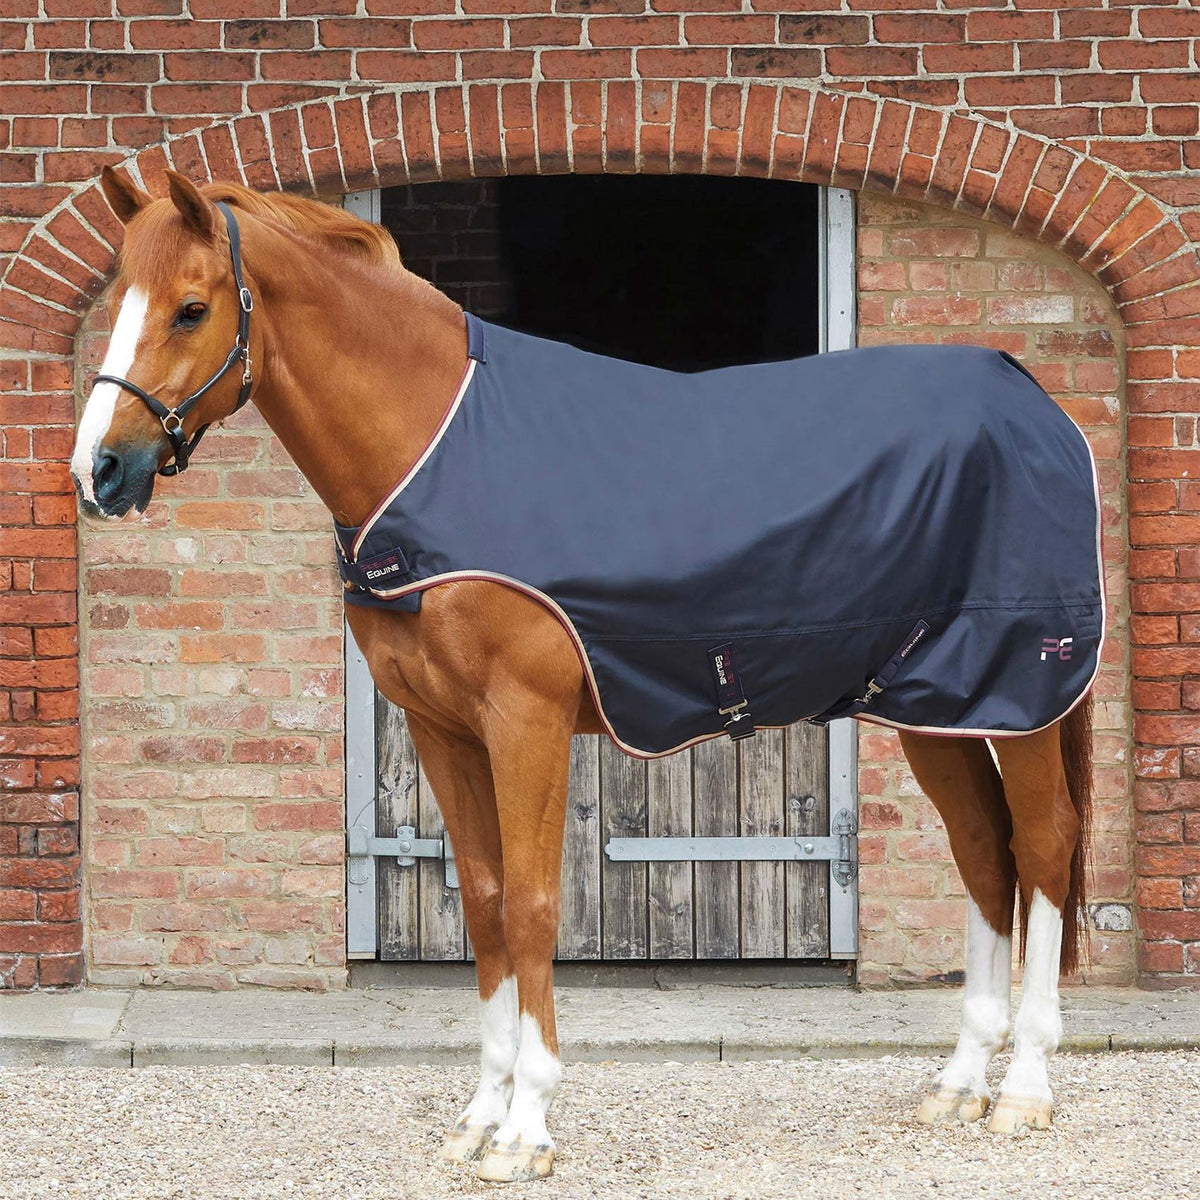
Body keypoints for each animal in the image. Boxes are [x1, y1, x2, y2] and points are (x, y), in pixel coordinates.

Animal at [71, 167, 1096, 1183]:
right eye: (117, 301)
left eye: (192, 308)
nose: (99, 471)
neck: (435, 451)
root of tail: (1033, 401)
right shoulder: (442, 729)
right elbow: (486, 905)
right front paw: (480, 1118)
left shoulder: (524, 720)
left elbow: (532, 907)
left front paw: (527, 1128)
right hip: (939, 705)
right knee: (984, 852)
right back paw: (961, 1084)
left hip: (1023, 697)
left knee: (1044, 843)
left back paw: (1026, 1090)